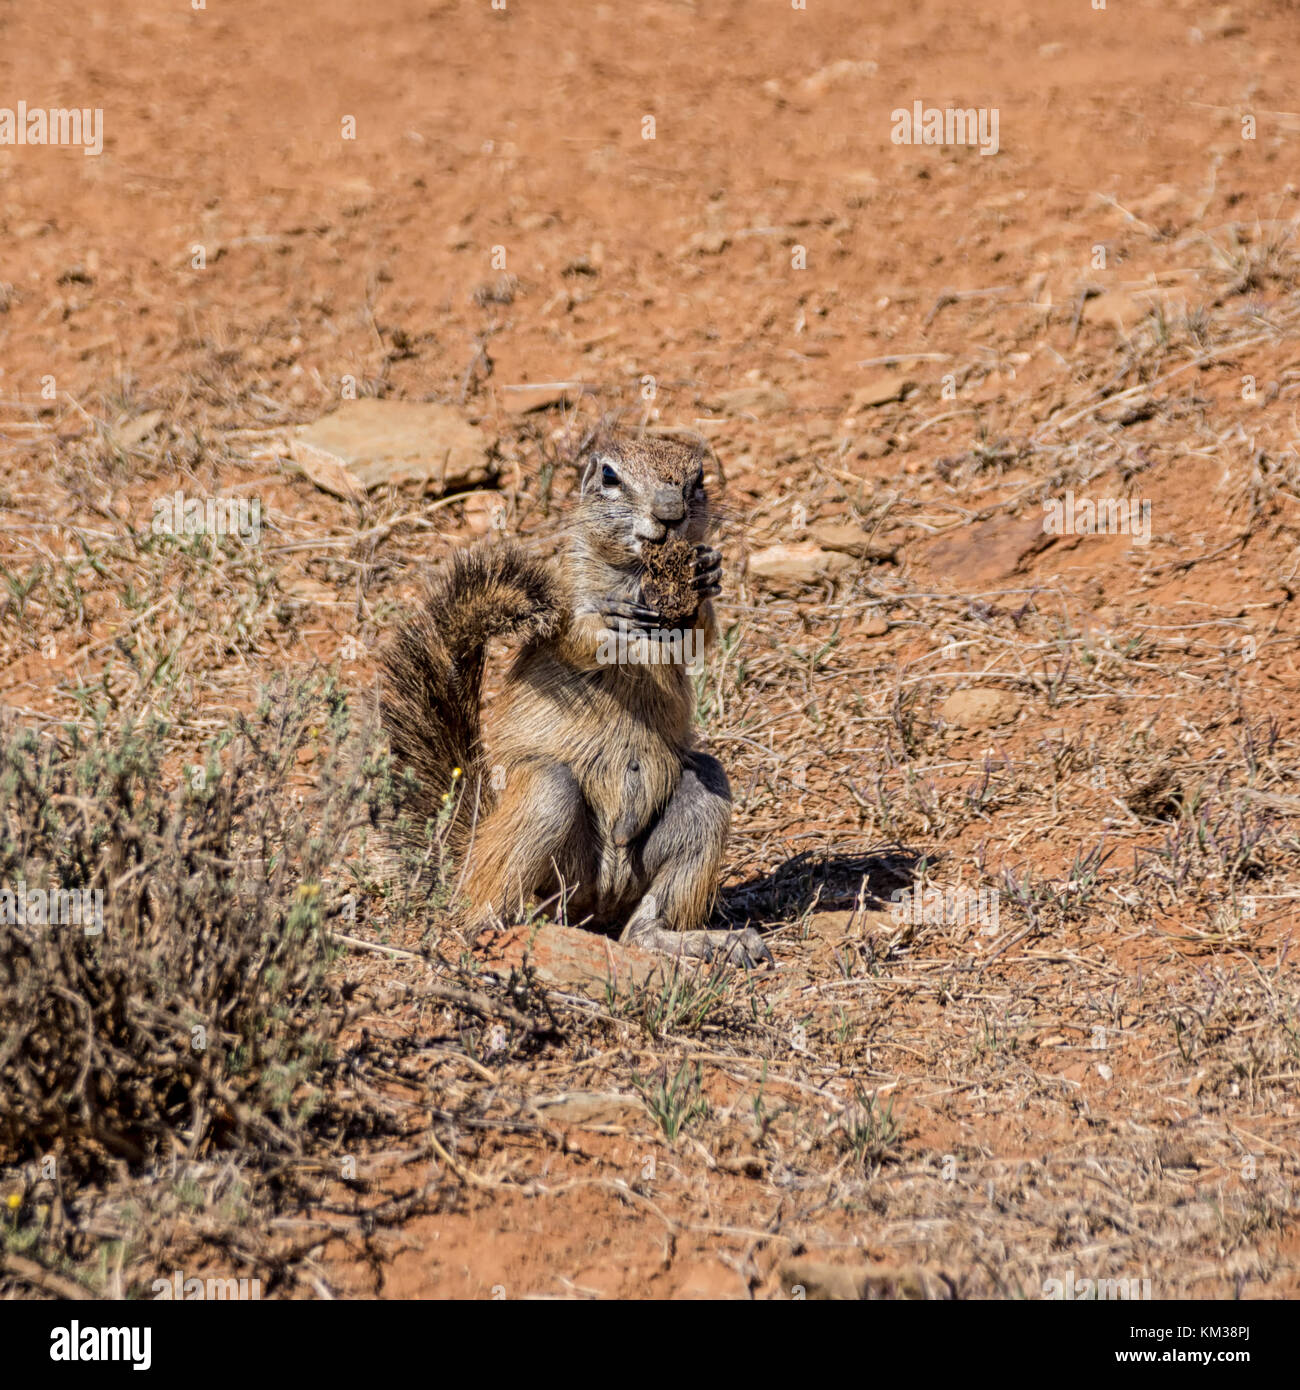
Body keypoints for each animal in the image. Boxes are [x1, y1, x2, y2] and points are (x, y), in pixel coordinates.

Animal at [379, 431, 772, 968]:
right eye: (609, 476)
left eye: (700, 478)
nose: (670, 514)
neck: (635, 574)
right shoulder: (565, 591)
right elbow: (577, 634)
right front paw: (613, 623)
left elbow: (702, 635)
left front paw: (706, 574)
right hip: (545, 807)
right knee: (486, 900)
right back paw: (491, 929)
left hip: (699, 805)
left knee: (641, 930)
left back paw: (708, 940)